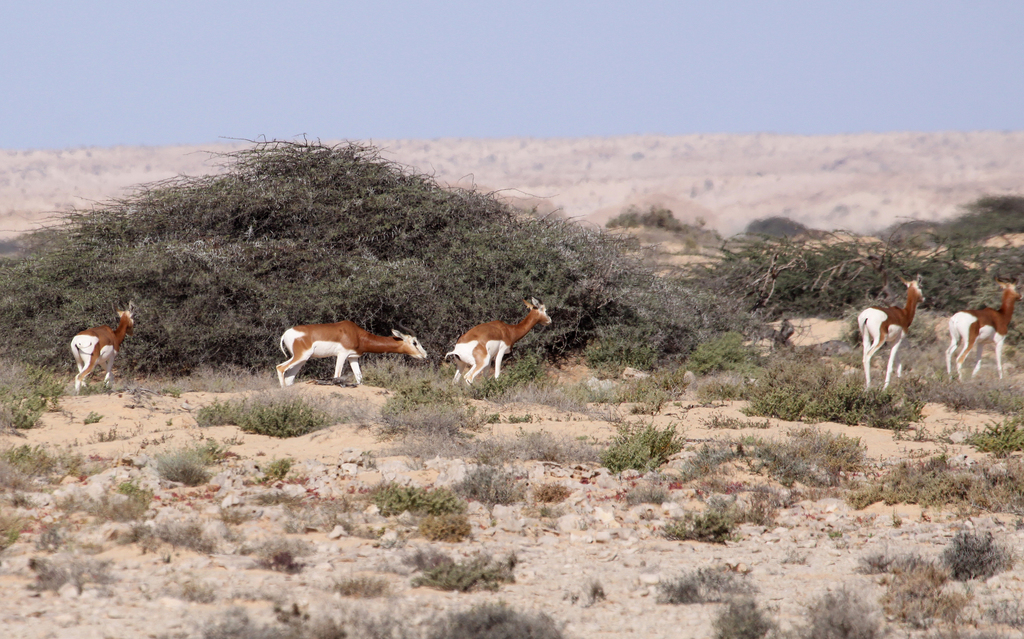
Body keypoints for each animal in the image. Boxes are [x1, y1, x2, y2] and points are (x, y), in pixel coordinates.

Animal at [276, 321, 427, 387]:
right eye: (414, 342)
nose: (425, 355)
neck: (357, 335)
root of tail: (286, 333)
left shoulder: (353, 358)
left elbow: (360, 379)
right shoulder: (341, 355)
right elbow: (336, 376)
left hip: (302, 359)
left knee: (289, 376)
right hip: (301, 356)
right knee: (280, 367)